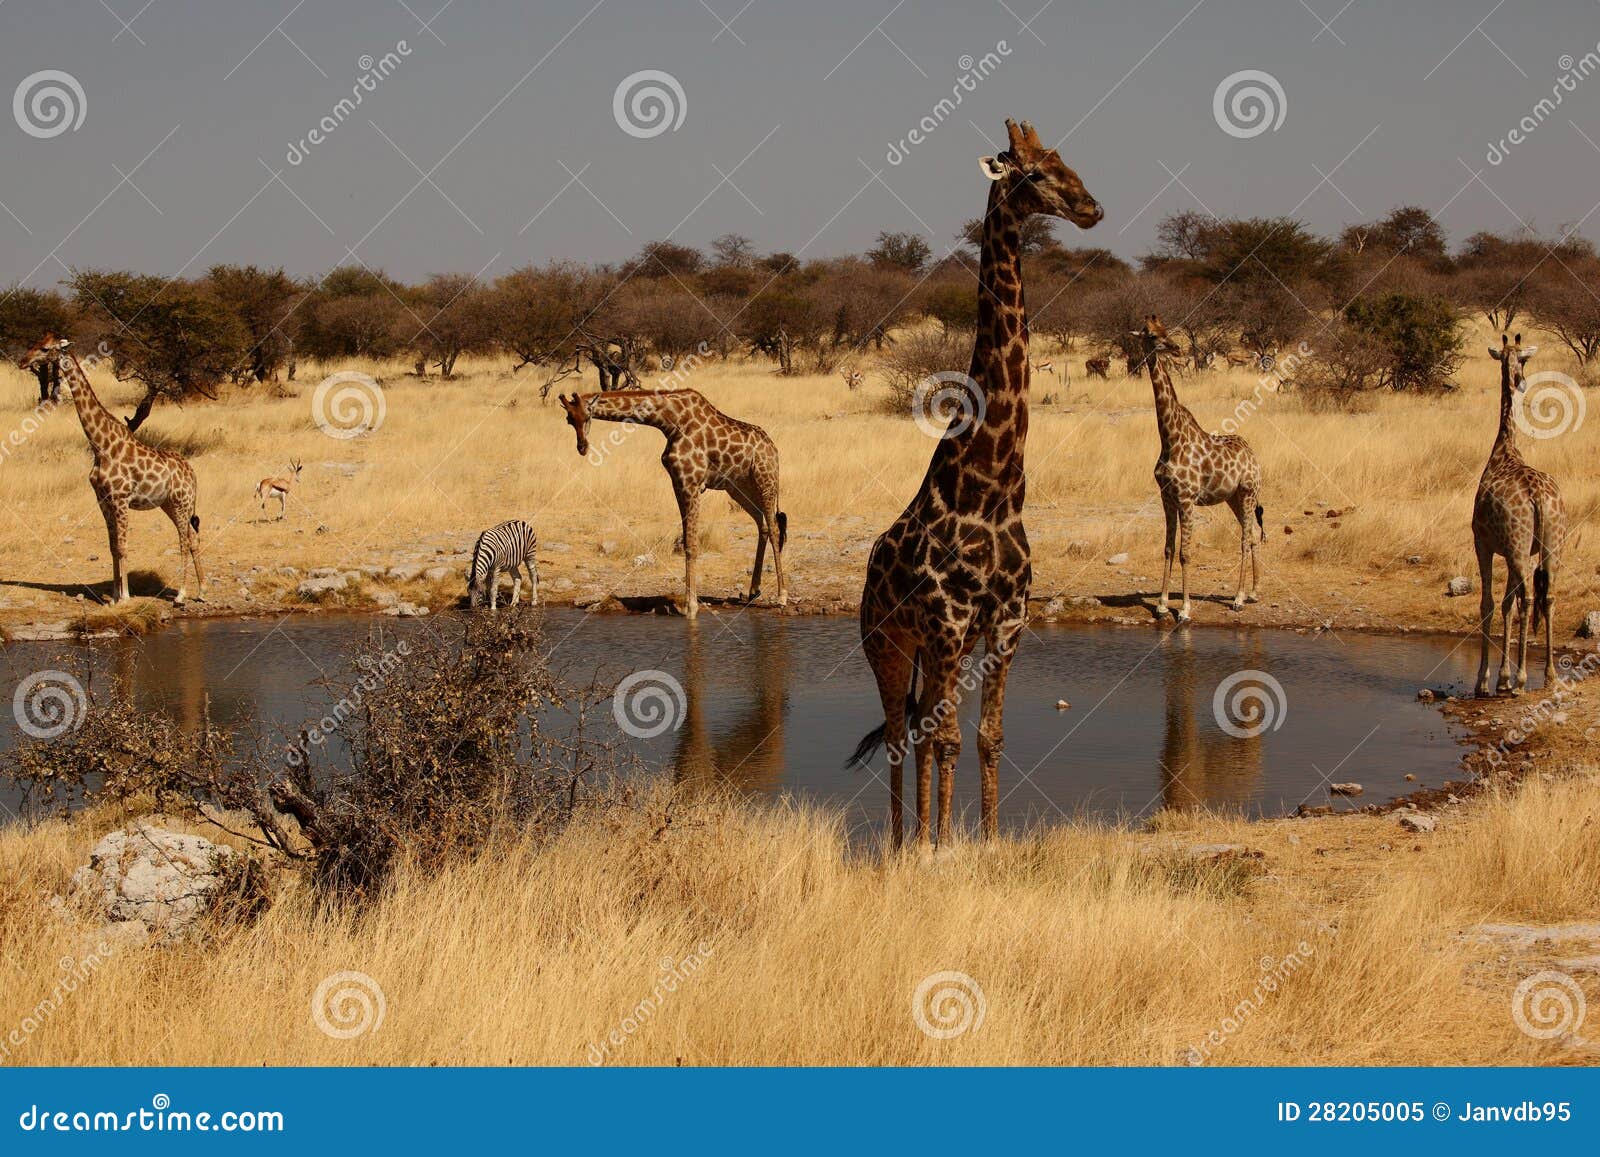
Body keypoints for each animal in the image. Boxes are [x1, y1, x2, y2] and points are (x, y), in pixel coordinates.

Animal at [18, 335, 205, 604]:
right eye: (35, 343)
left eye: (45, 349)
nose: (23, 361)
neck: (100, 446)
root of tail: (192, 473)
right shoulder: (103, 500)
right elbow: (113, 547)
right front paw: (115, 596)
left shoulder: (120, 499)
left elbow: (123, 546)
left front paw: (125, 596)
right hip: (169, 504)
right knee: (192, 537)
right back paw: (202, 590)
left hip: (182, 502)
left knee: (183, 539)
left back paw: (181, 594)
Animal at [557, 388, 786, 619]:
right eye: (569, 419)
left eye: (587, 415)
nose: (582, 447)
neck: (670, 421)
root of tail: (774, 448)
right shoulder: (677, 482)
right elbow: (686, 542)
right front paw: (687, 604)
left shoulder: (691, 483)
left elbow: (692, 544)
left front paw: (691, 607)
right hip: (739, 488)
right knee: (763, 525)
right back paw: (753, 591)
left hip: (766, 481)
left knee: (774, 528)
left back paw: (781, 596)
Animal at [847, 118, 1102, 851]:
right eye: (1034, 173)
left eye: (1068, 161)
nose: (1090, 208)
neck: (991, 484)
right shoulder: (949, 618)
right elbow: (952, 740)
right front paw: (938, 850)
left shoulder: (1005, 620)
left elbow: (987, 737)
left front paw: (982, 841)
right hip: (889, 644)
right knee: (902, 734)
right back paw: (903, 842)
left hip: (940, 651)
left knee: (924, 732)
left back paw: (923, 834)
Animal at [1134, 315, 1263, 623]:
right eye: (1150, 334)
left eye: (1166, 331)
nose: (1176, 348)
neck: (1170, 438)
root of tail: (1252, 454)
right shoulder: (1167, 497)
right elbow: (1168, 548)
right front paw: (1161, 605)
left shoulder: (1187, 499)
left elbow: (1186, 553)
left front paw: (1184, 609)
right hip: (1234, 498)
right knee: (1252, 534)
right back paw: (1253, 592)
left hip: (1249, 492)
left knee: (1244, 539)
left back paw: (1239, 599)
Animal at [1473, 333, 1565, 696]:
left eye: (1522, 359)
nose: (1520, 379)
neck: (1504, 449)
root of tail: (1538, 497)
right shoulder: (1519, 552)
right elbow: (1505, 605)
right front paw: (1502, 676)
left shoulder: (1484, 544)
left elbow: (1488, 604)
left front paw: (1486, 680)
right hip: (1550, 545)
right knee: (1548, 596)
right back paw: (1550, 675)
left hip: (1516, 545)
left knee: (1528, 599)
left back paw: (1524, 678)